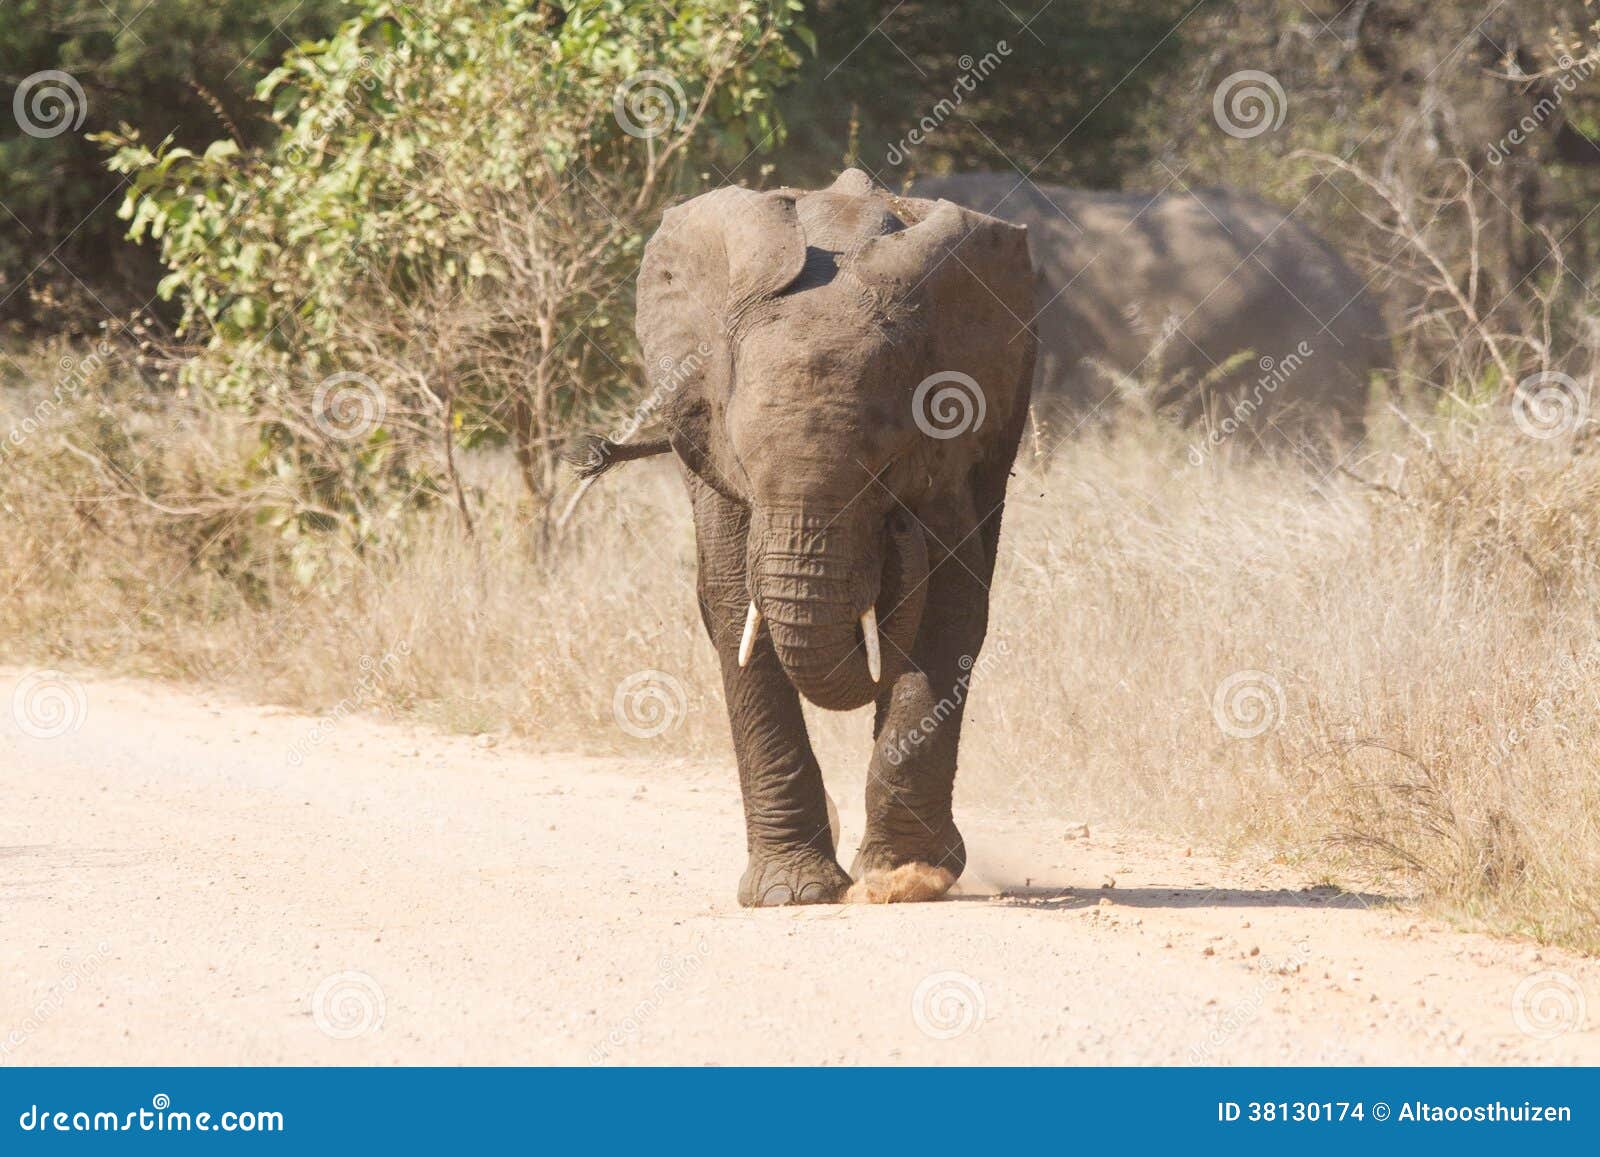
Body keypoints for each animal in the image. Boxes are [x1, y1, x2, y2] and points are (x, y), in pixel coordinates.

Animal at [571, 168, 1036, 906]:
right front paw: (791, 894)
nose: (894, 527)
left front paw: (906, 878)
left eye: (886, 464)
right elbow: (731, 601)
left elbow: (953, 604)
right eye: (744, 459)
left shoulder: (956, 440)